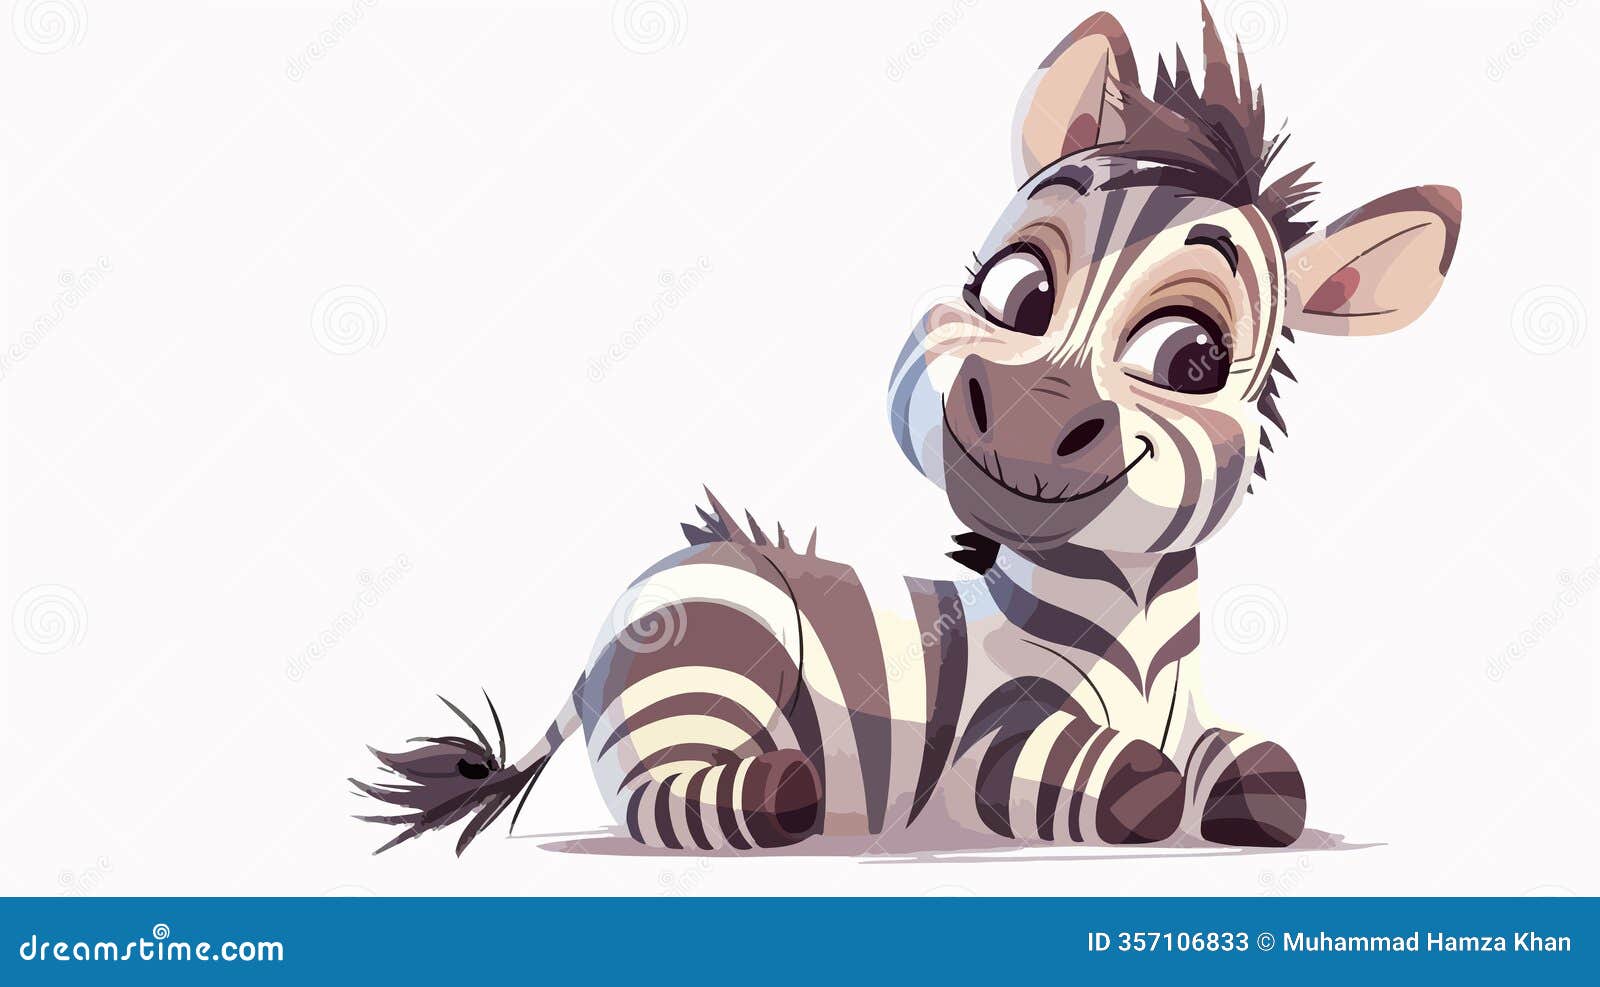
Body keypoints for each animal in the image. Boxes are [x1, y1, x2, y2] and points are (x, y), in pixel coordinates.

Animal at [353, 6, 1461, 855]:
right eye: (1017, 292)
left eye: (1190, 359)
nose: (1025, 412)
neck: (1137, 637)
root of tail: (616, 615)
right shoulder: (992, 748)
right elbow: (1124, 781)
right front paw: (1145, 791)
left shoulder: (1197, 720)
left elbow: (1266, 770)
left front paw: (1244, 795)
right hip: (708, 669)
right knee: (666, 794)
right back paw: (779, 791)